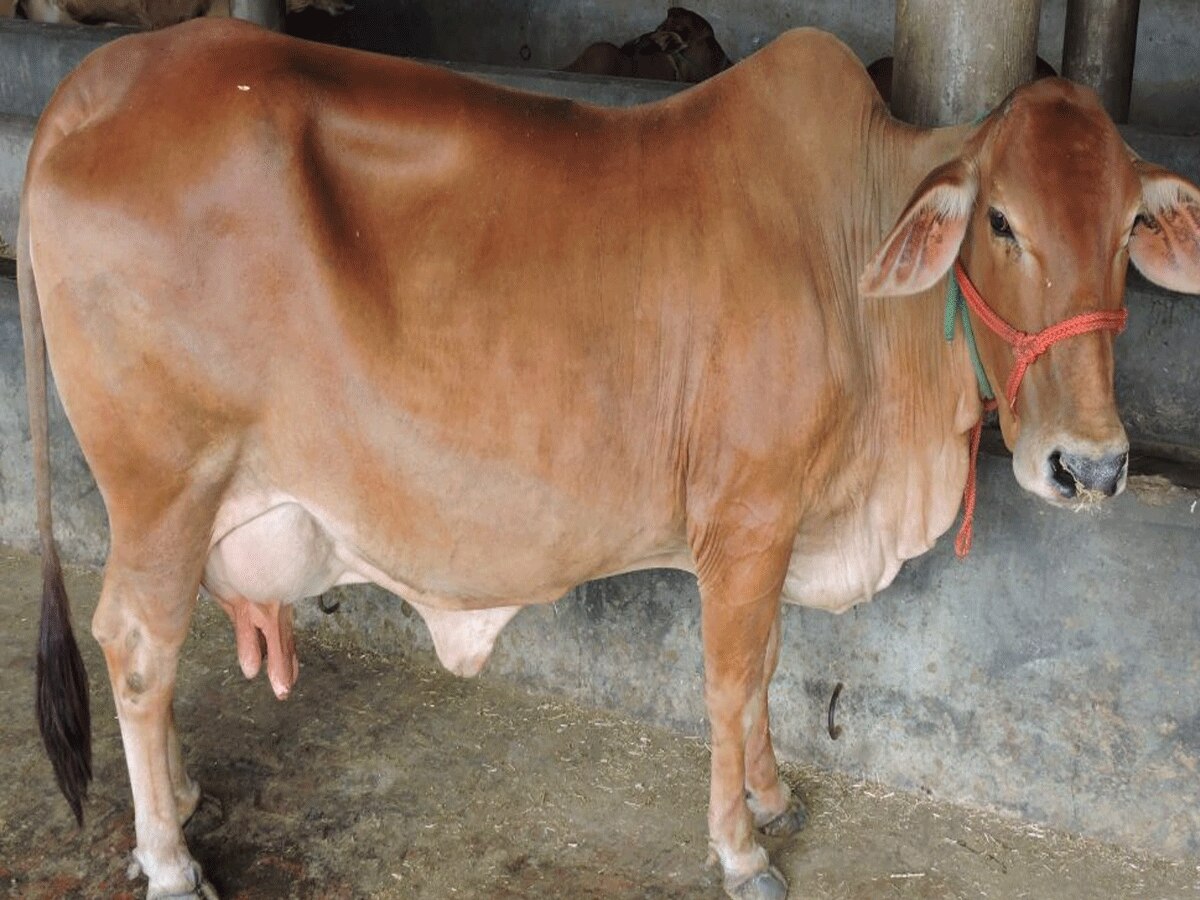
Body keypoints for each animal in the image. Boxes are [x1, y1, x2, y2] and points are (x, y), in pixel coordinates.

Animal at [19, 18, 1200, 900]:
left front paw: (773, 798)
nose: (1089, 468)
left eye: (1127, 228)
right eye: (1000, 221)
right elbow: (731, 678)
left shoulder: (774, 526)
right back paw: (170, 859)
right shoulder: (747, 519)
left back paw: (178, 802)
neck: (850, 256)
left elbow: (769, 668)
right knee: (137, 646)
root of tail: (96, 82)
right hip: (163, 481)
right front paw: (741, 848)